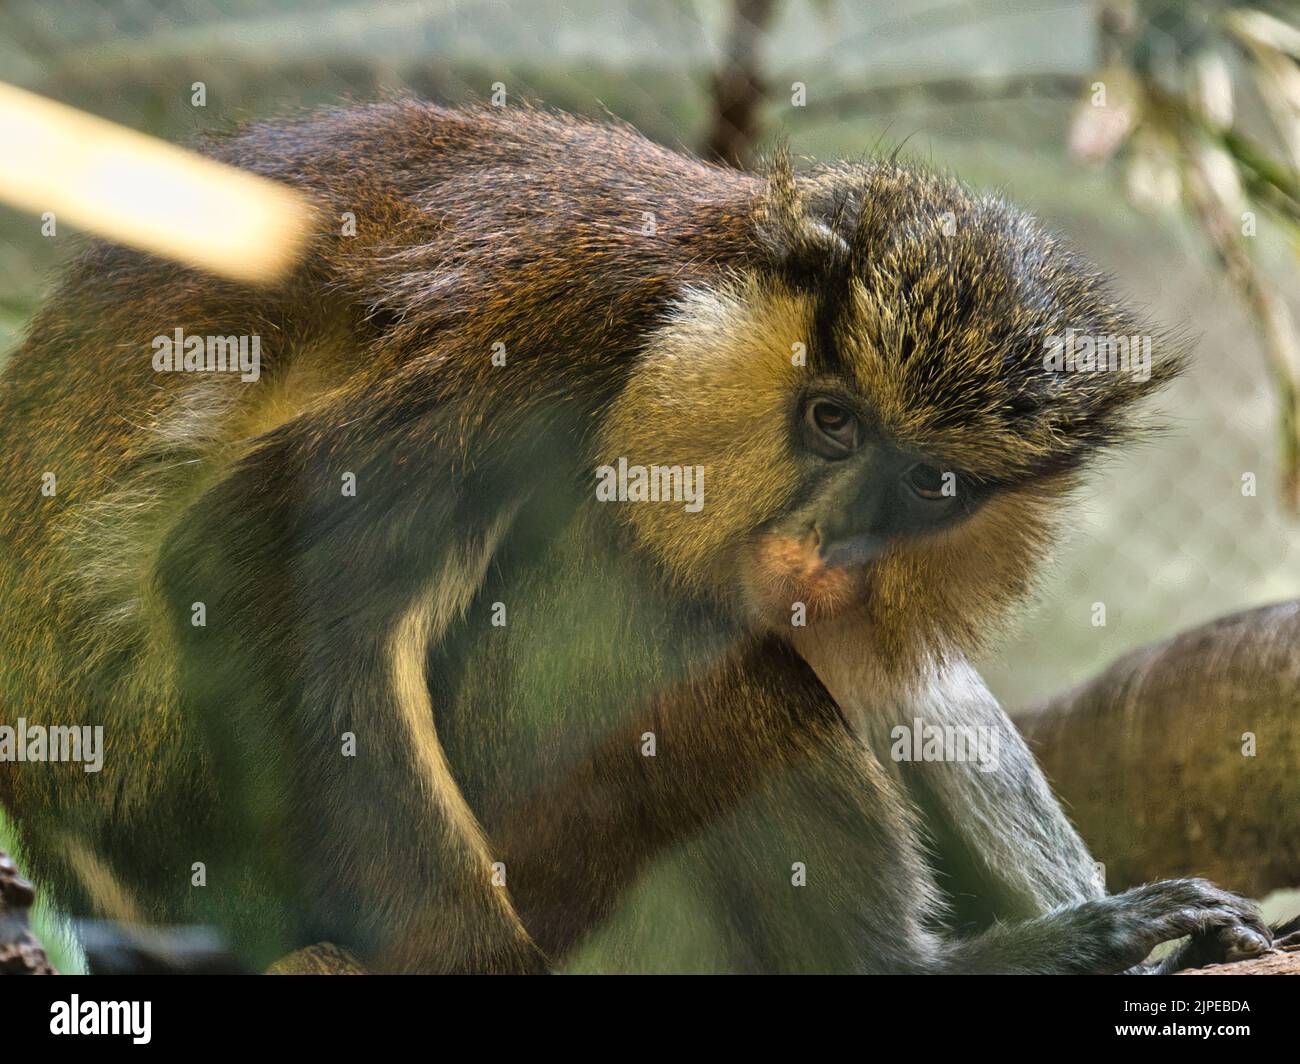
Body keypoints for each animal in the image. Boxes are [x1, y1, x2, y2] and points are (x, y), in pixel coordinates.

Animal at [0, 101, 1271, 974]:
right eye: (831, 420)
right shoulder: (548, 349)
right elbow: (249, 562)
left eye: (930, 482)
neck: (710, 294)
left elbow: (906, 681)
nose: (828, 543)